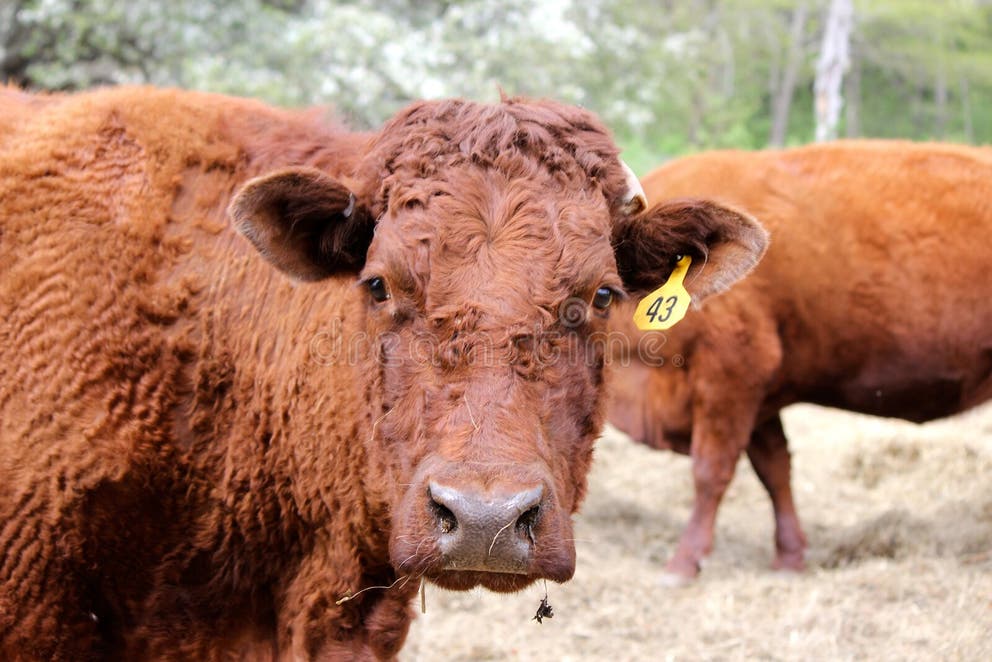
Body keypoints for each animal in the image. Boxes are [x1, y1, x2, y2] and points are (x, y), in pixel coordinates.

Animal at [608, 140, 992, 584]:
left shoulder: (731, 375)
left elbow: (710, 471)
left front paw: (684, 562)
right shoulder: (760, 395)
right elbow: (775, 469)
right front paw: (790, 556)